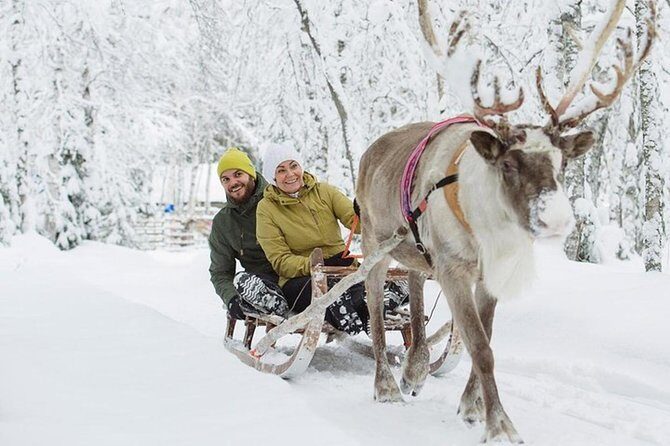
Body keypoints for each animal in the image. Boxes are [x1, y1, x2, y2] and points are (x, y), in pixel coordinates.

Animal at [355, 1, 655, 442]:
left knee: (414, 282)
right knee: (375, 308)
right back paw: (387, 385)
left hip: (417, 250)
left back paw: (416, 368)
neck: (487, 233)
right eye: (509, 164)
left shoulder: (490, 272)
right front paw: (500, 424)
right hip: (374, 244)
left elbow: (484, 336)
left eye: (562, 163)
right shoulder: (454, 269)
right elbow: (480, 347)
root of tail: (370, 152)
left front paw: (471, 406)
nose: (556, 220)